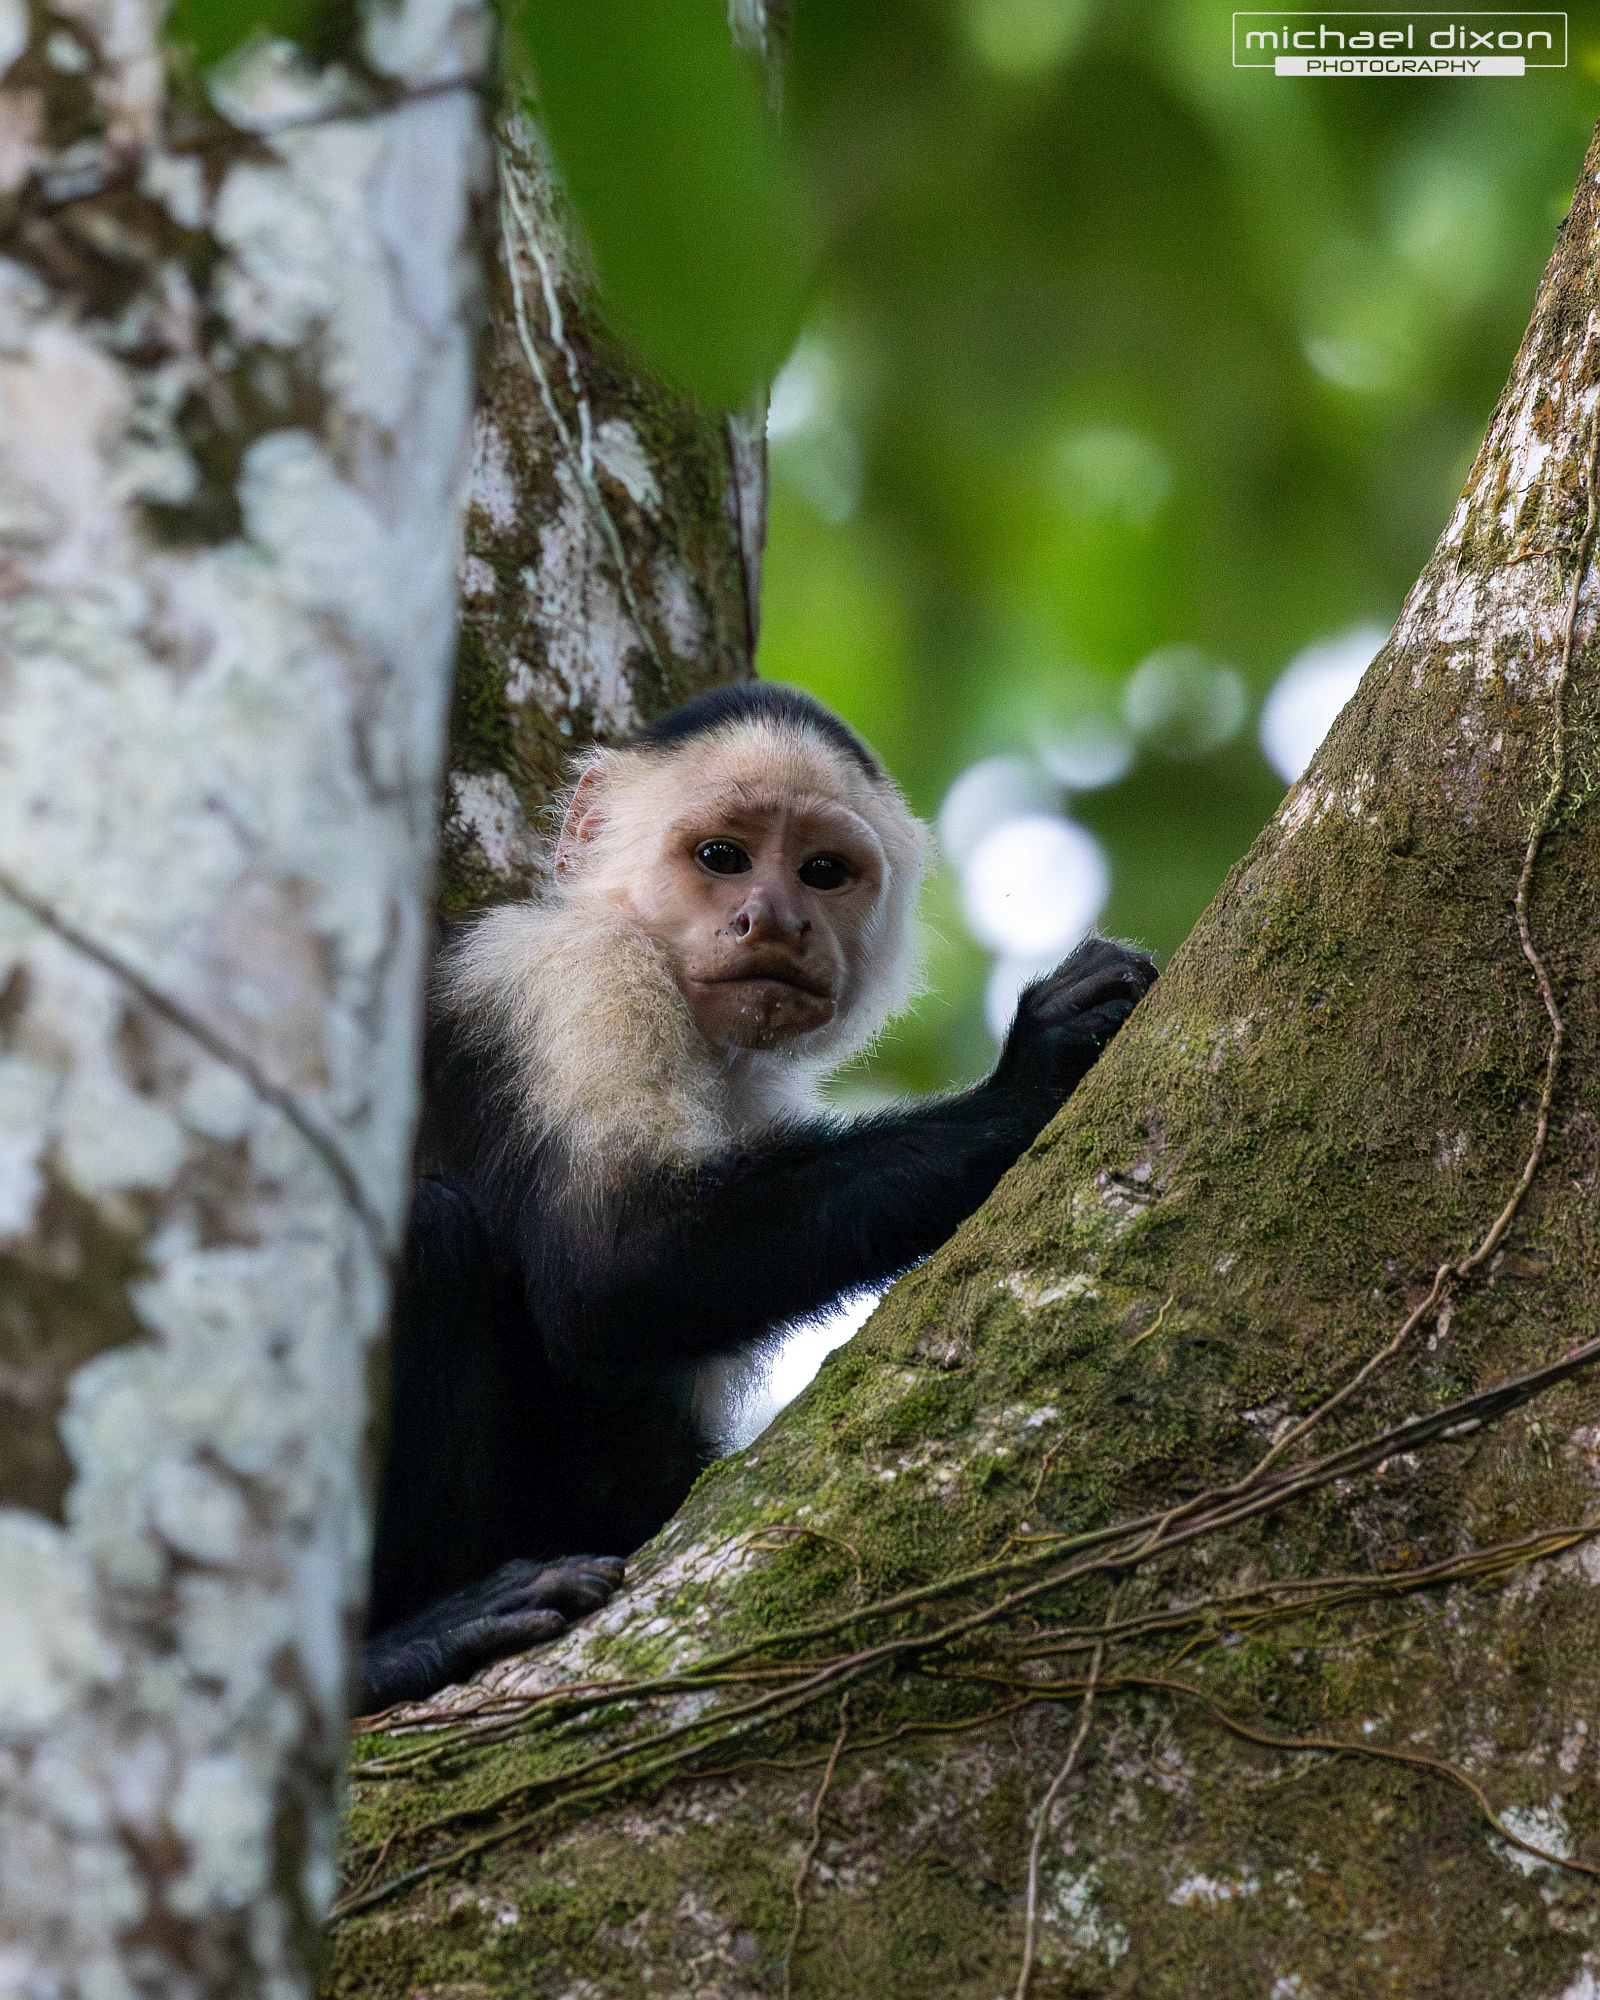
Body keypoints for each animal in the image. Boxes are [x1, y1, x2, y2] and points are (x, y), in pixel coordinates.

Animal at [357, 683, 1157, 1712]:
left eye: (822, 872)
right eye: (722, 858)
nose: (773, 920)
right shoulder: (579, 974)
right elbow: (611, 1272)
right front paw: (1030, 1076)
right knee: (432, 1234)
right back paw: (400, 1648)